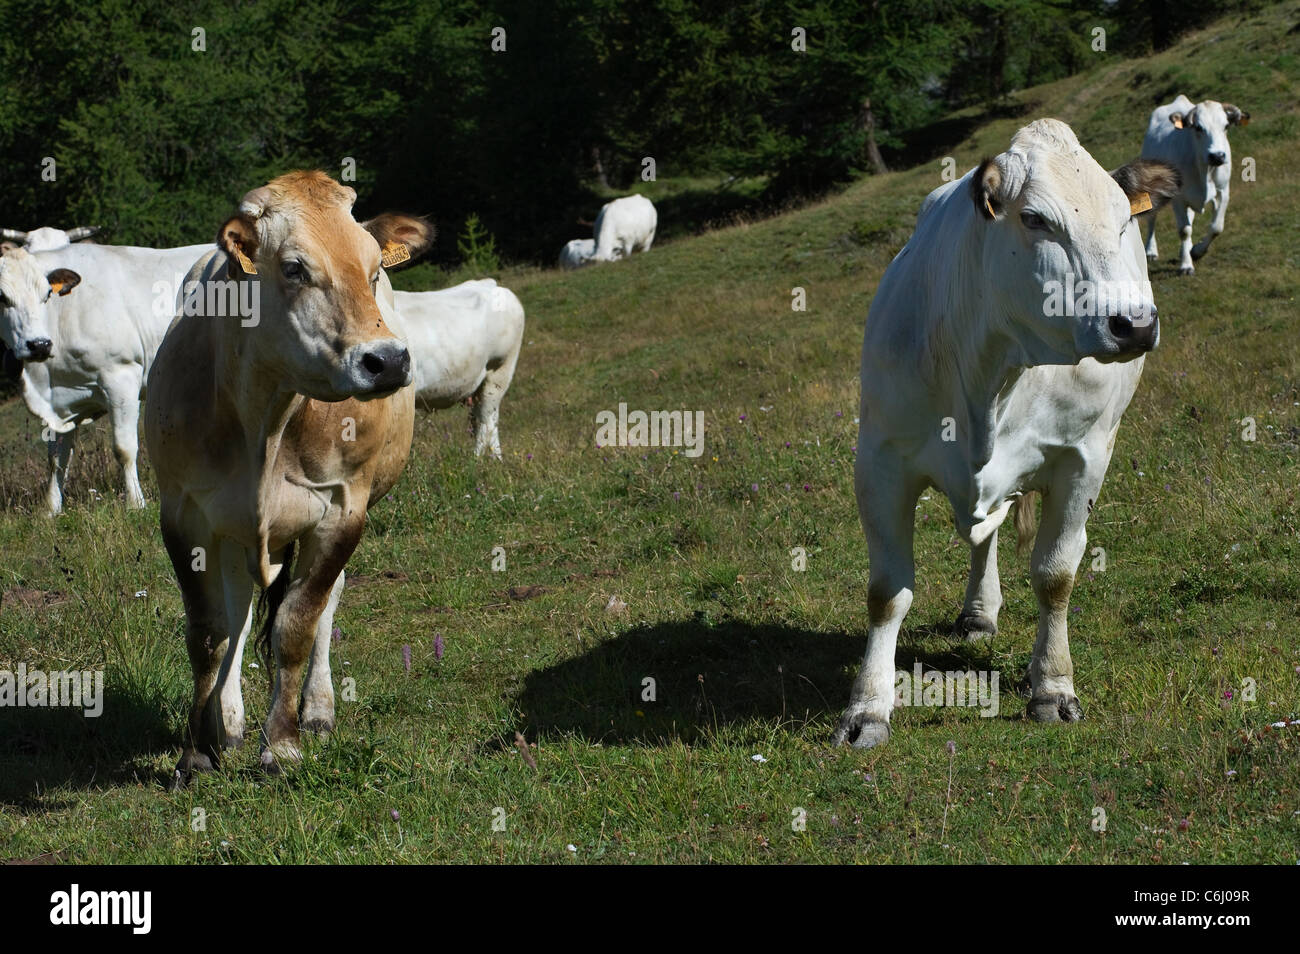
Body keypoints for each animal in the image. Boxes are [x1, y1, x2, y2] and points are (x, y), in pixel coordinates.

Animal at [0, 240, 213, 513]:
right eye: (2, 297)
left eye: (46, 294)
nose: (38, 344)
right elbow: (56, 457)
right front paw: (51, 508)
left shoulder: (121, 376)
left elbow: (124, 448)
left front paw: (136, 503)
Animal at [143, 171, 431, 780]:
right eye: (295, 267)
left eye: (374, 267)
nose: (388, 361)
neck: (265, 417)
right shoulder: (183, 513)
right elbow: (209, 631)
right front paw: (196, 753)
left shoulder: (343, 509)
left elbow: (297, 624)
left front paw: (281, 743)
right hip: (231, 530)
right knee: (239, 611)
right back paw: (227, 723)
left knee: (322, 606)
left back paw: (316, 711)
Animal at [832, 119, 1181, 749]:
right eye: (1036, 218)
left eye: (1125, 219)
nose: (1135, 324)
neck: (991, 372)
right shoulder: (879, 460)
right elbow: (886, 592)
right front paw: (867, 707)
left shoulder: (1086, 457)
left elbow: (1056, 575)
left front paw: (1053, 689)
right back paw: (978, 613)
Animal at [1139, 95, 1250, 275]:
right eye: (1198, 127)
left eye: (1226, 126)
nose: (1217, 156)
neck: (1205, 171)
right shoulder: (1177, 198)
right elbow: (1184, 230)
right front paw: (1186, 265)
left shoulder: (1223, 191)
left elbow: (1216, 227)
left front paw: (1196, 252)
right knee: (1152, 218)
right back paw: (1151, 251)